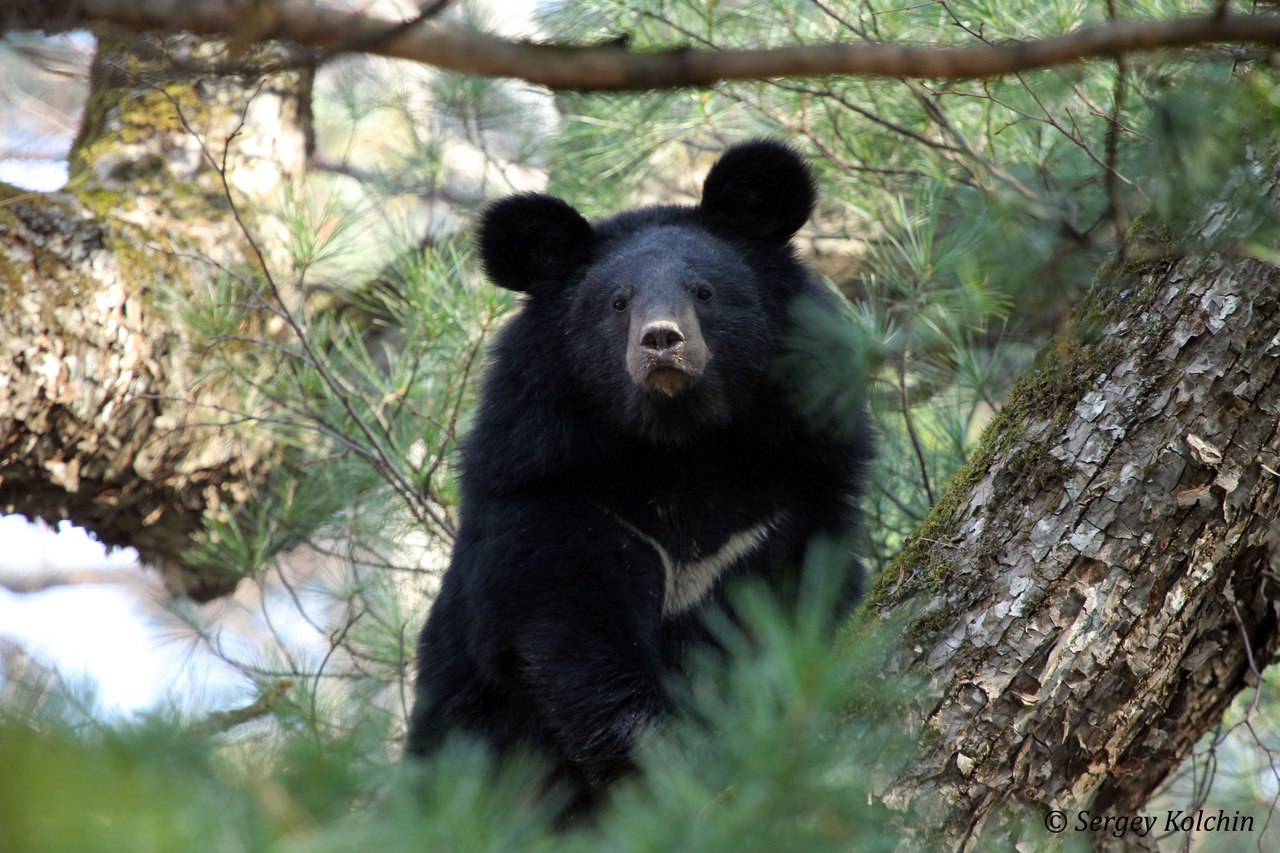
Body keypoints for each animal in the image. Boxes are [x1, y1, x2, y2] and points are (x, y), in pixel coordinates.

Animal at [406, 139, 872, 813]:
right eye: (617, 302)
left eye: (703, 291)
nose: (662, 343)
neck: (678, 448)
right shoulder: (549, 493)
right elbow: (575, 637)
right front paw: (666, 758)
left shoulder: (788, 504)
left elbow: (791, 607)